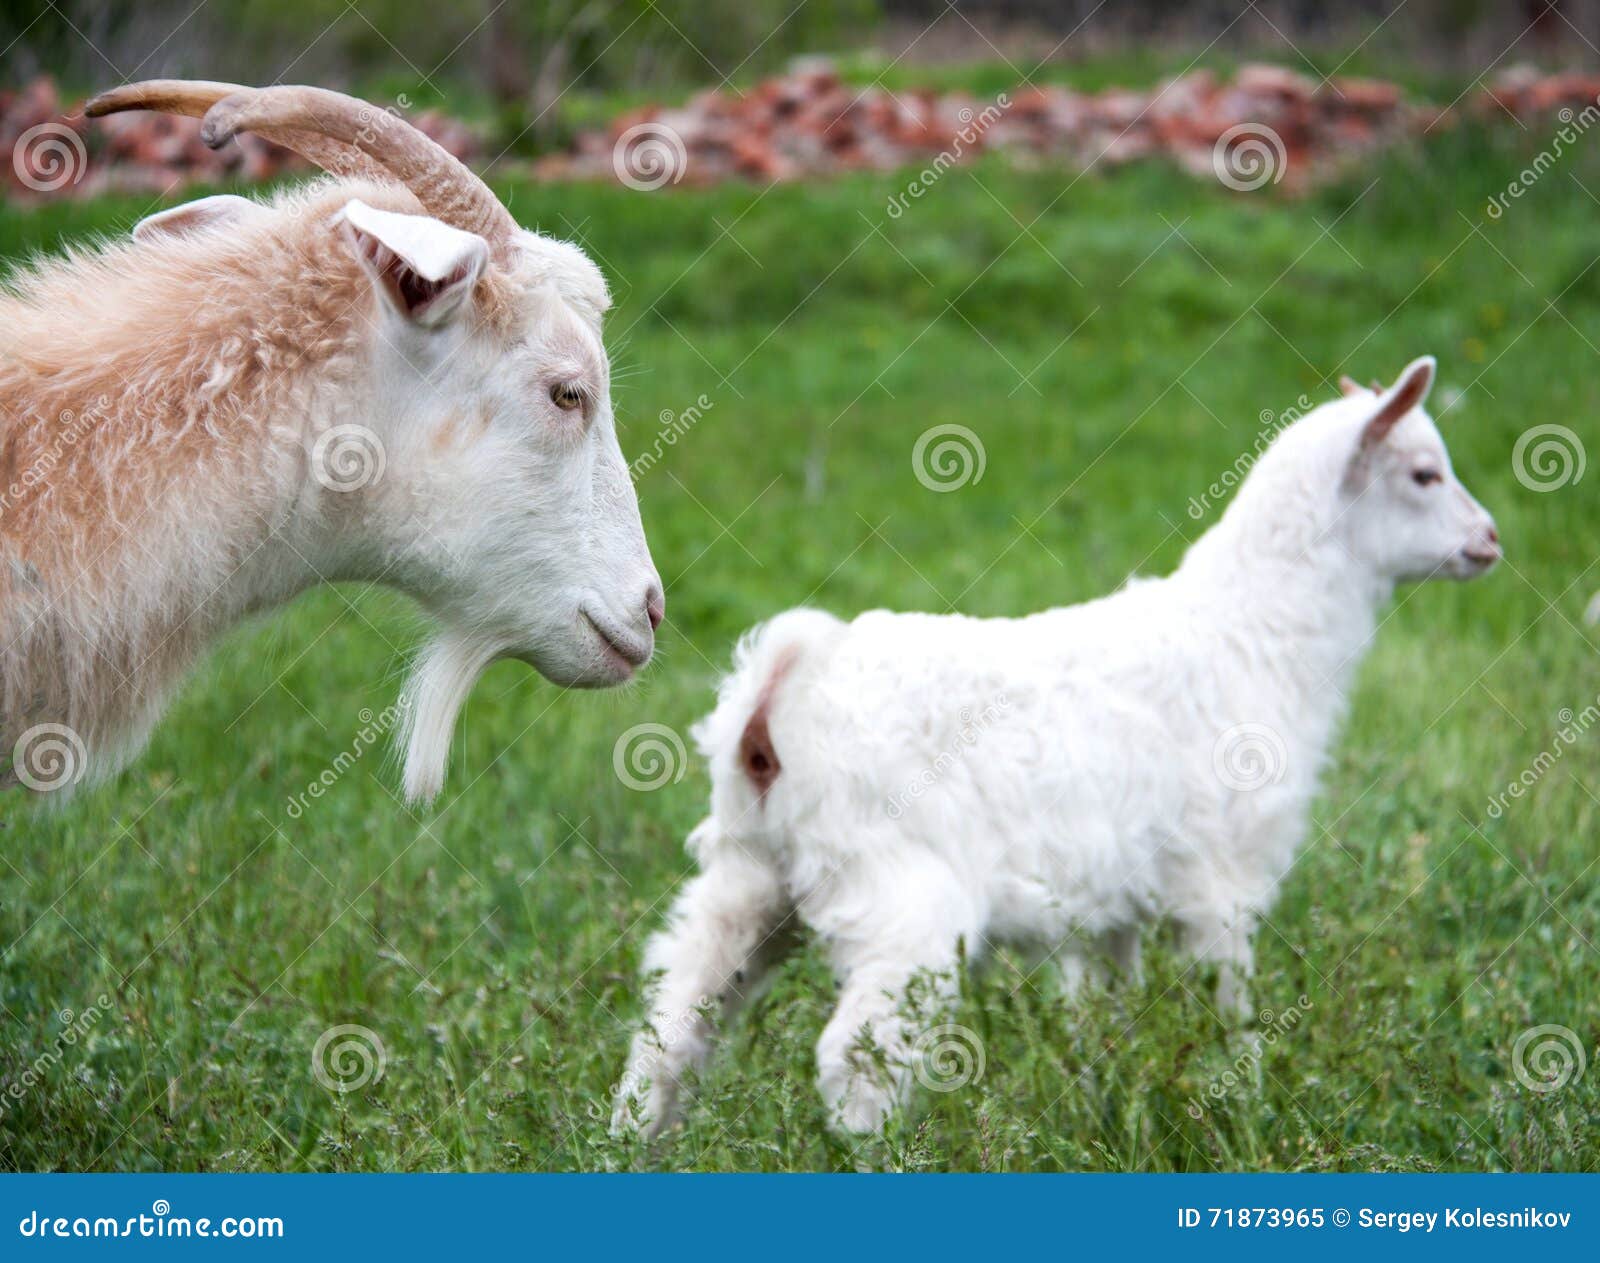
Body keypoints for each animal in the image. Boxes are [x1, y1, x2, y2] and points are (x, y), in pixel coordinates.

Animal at [615, 356, 1500, 1136]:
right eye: (1424, 474)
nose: (1489, 540)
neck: (1250, 632)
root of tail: (775, 695)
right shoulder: (1220, 879)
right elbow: (1229, 1011)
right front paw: (1244, 1104)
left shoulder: (1111, 907)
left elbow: (1103, 1020)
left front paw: (1107, 1107)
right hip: (899, 895)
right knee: (856, 1053)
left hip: (747, 876)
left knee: (676, 1017)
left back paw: (632, 1139)